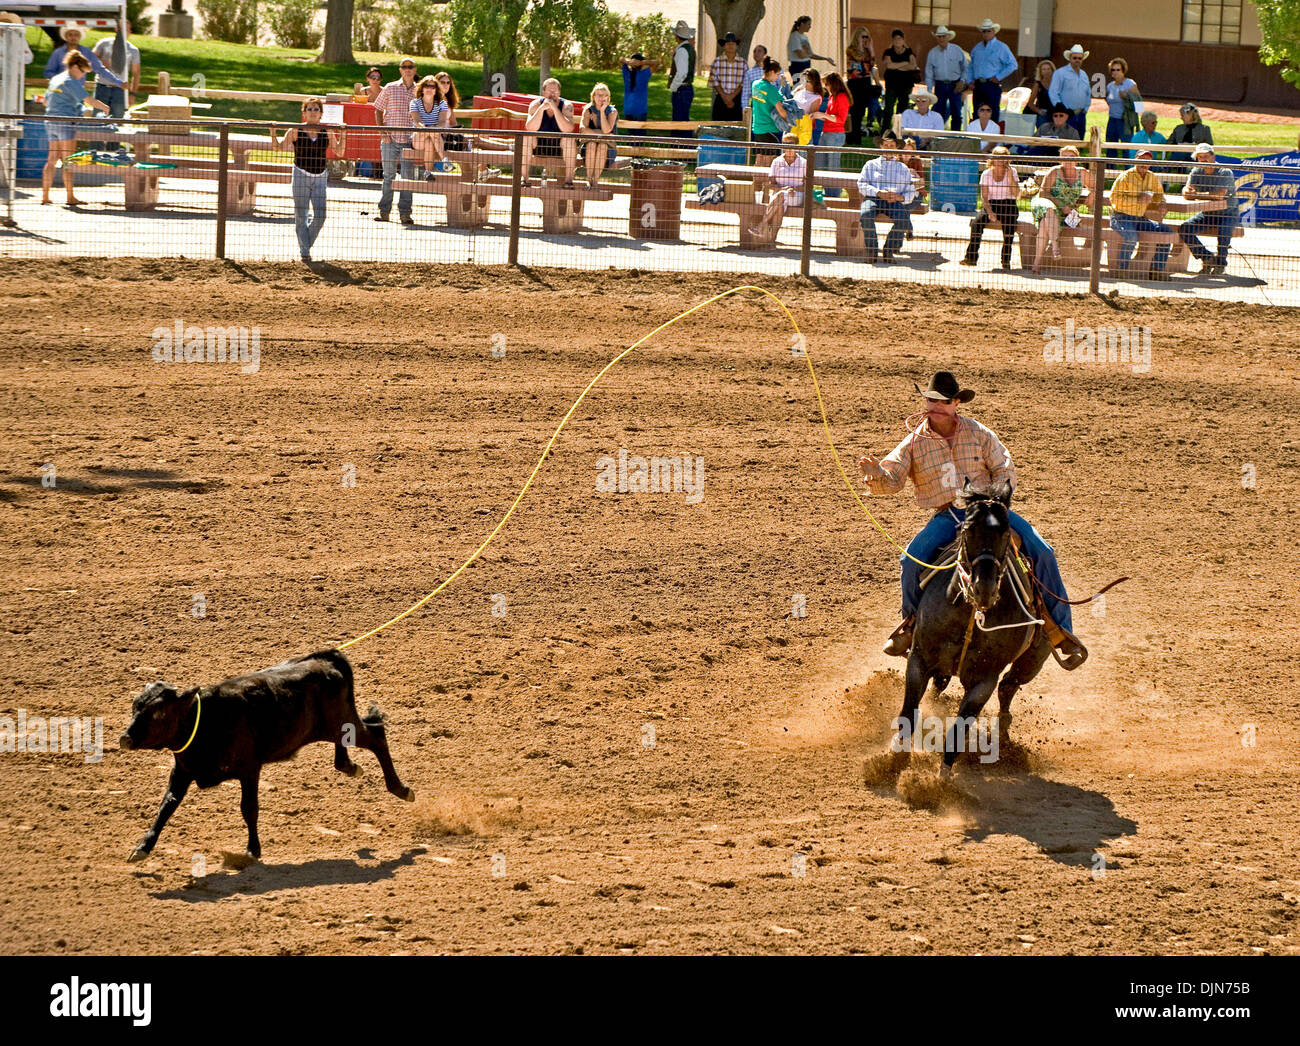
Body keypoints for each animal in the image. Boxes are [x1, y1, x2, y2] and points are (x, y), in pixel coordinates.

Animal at [119, 648, 414, 863]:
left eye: (158, 713)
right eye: (135, 707)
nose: (125, 738)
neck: (204, 719)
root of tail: (325, 659)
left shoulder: (249, 769)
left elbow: (249, 808)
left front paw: (253, 850)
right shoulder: (182, 771)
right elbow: (166, 805)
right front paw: (142, 847)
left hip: (344, 724)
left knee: (377, 735)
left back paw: (401, 789)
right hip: (338, 726)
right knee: (350, 748)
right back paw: (351, 766)